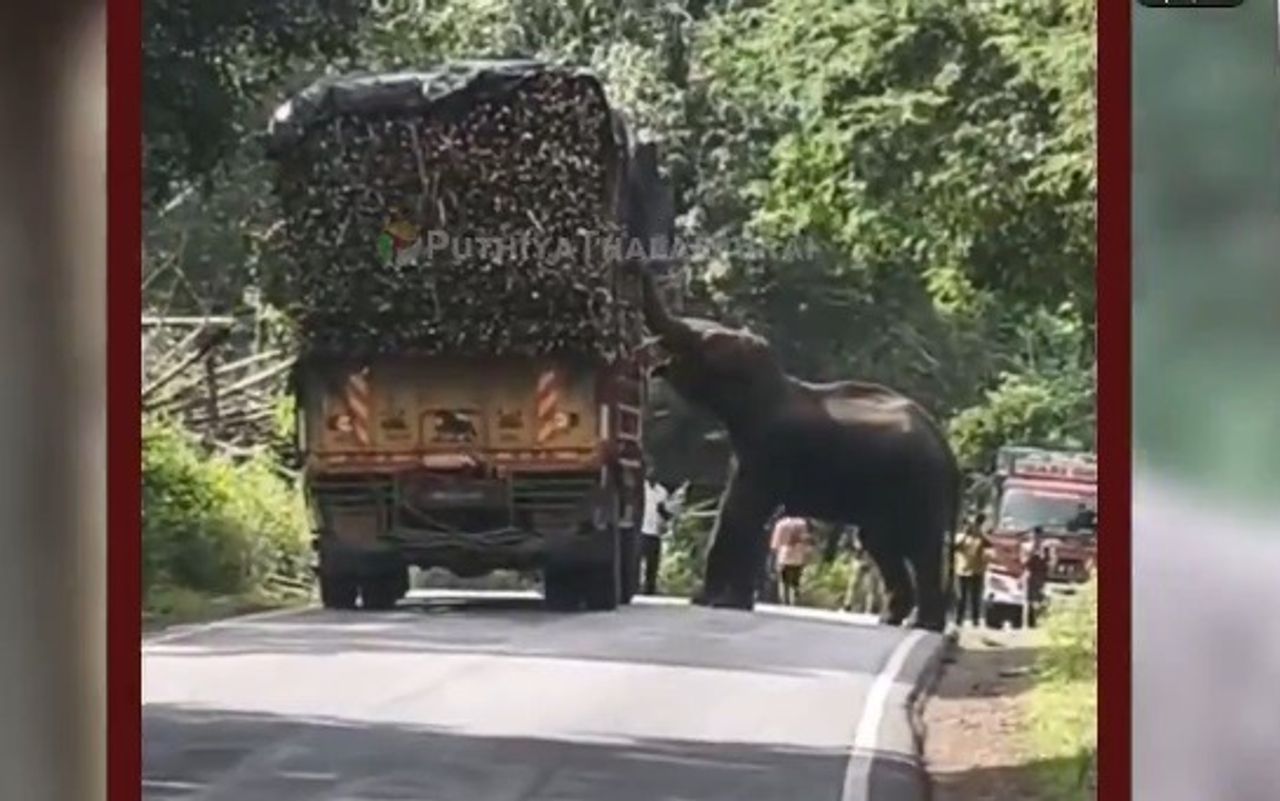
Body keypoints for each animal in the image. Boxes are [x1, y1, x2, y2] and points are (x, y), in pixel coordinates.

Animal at [636, 265, 960, 631]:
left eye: (706, 345)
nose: (642, 266)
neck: (774, 384)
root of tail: (947, 451)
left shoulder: (771, 449)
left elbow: (740, 509)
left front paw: (714, 602)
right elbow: (746, 513)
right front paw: (725, 602)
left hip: (921, 487)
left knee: (920, 546)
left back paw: (923, 625)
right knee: (881, 541)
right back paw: (891, 619)